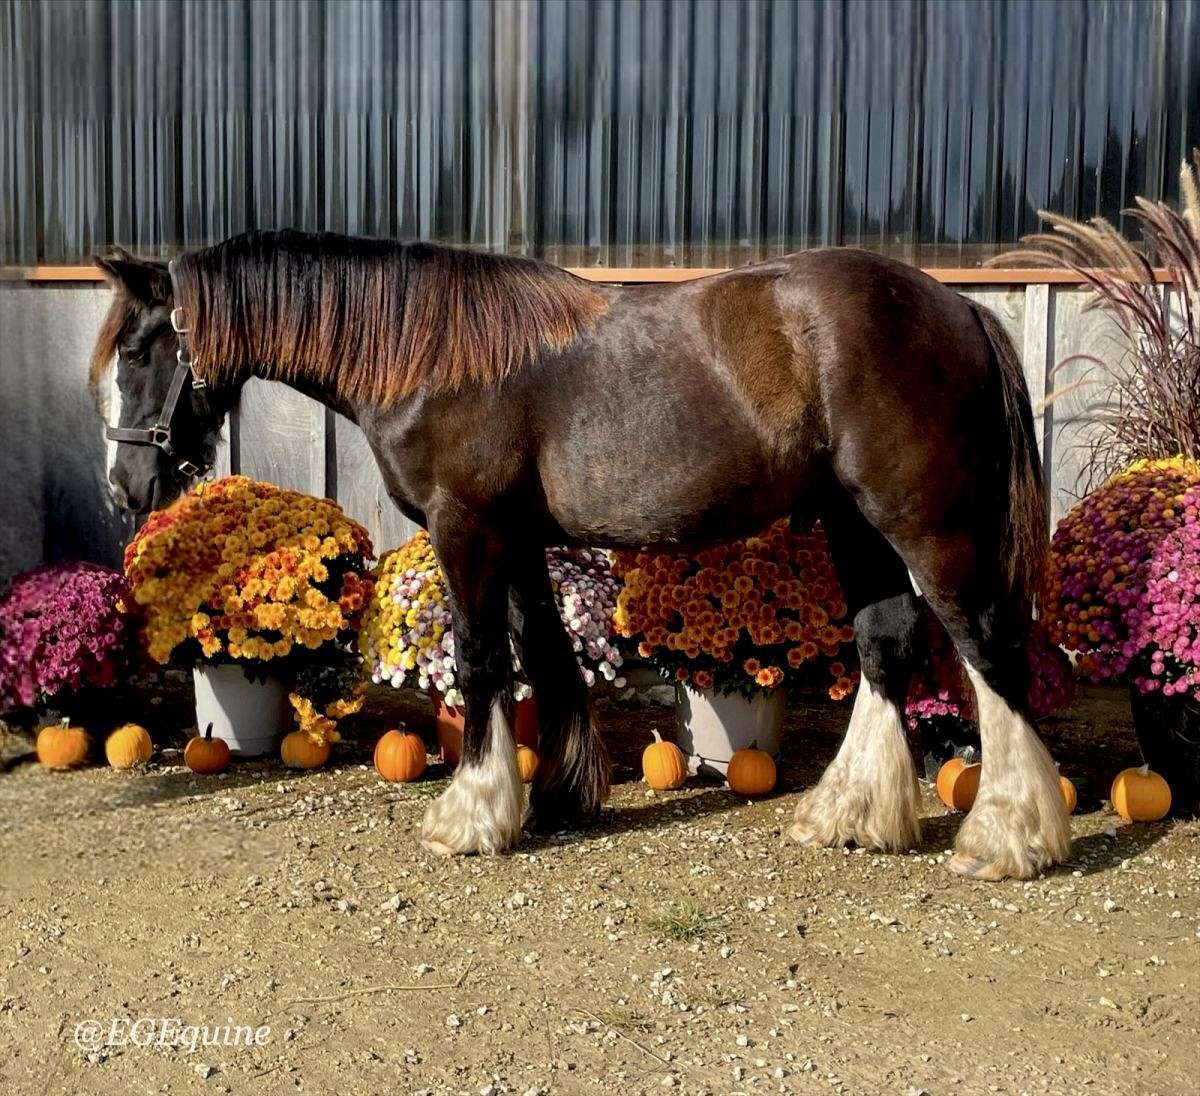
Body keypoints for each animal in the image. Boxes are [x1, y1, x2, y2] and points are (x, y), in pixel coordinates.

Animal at [90, 230, 1071, 881]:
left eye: (139, 349)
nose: (126, 486)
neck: (433, 356)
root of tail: (958, 306)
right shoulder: (520, 539)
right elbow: (546, 654)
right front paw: (558, 798)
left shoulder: (466, 529)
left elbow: (483, 661)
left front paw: (471, 817)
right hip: (853, 522)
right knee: (886, 643)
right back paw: (847, 814)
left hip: (923, 525)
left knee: (987, 650)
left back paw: (1006, 838)